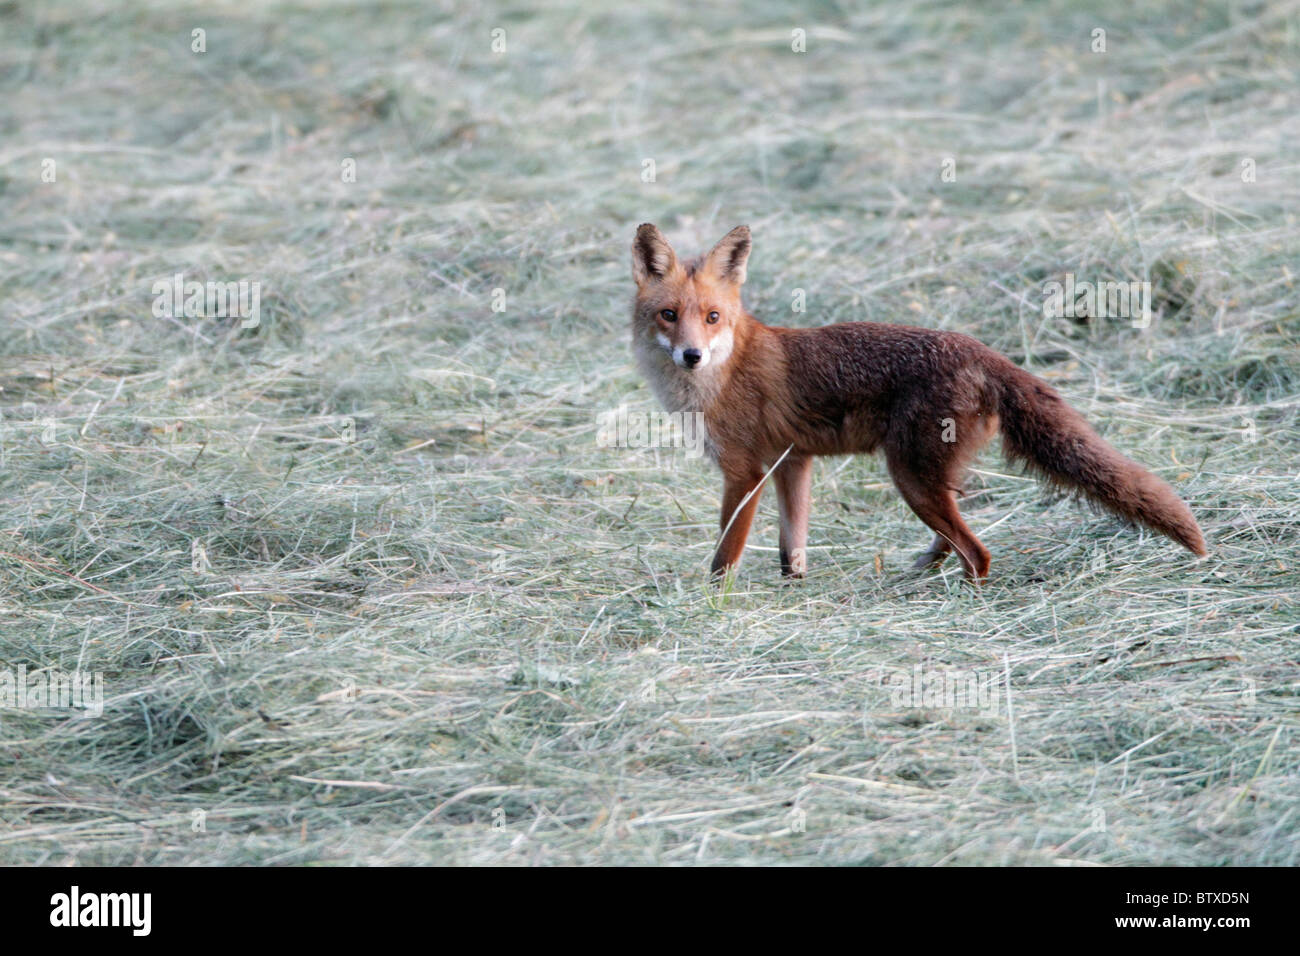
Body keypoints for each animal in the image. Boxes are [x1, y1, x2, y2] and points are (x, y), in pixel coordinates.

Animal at [629, 222, 1207, 582]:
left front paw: (711, 606)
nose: (691, 355)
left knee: (978, 554)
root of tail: (984, 352)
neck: (725, 372)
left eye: (712, 317)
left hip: (910, 477)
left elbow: (724, 557)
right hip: (928, 480)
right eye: (668, 315)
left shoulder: (746, 472)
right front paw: (795, 593)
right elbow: (792, 552)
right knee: (955, 538)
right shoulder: (793, 463)